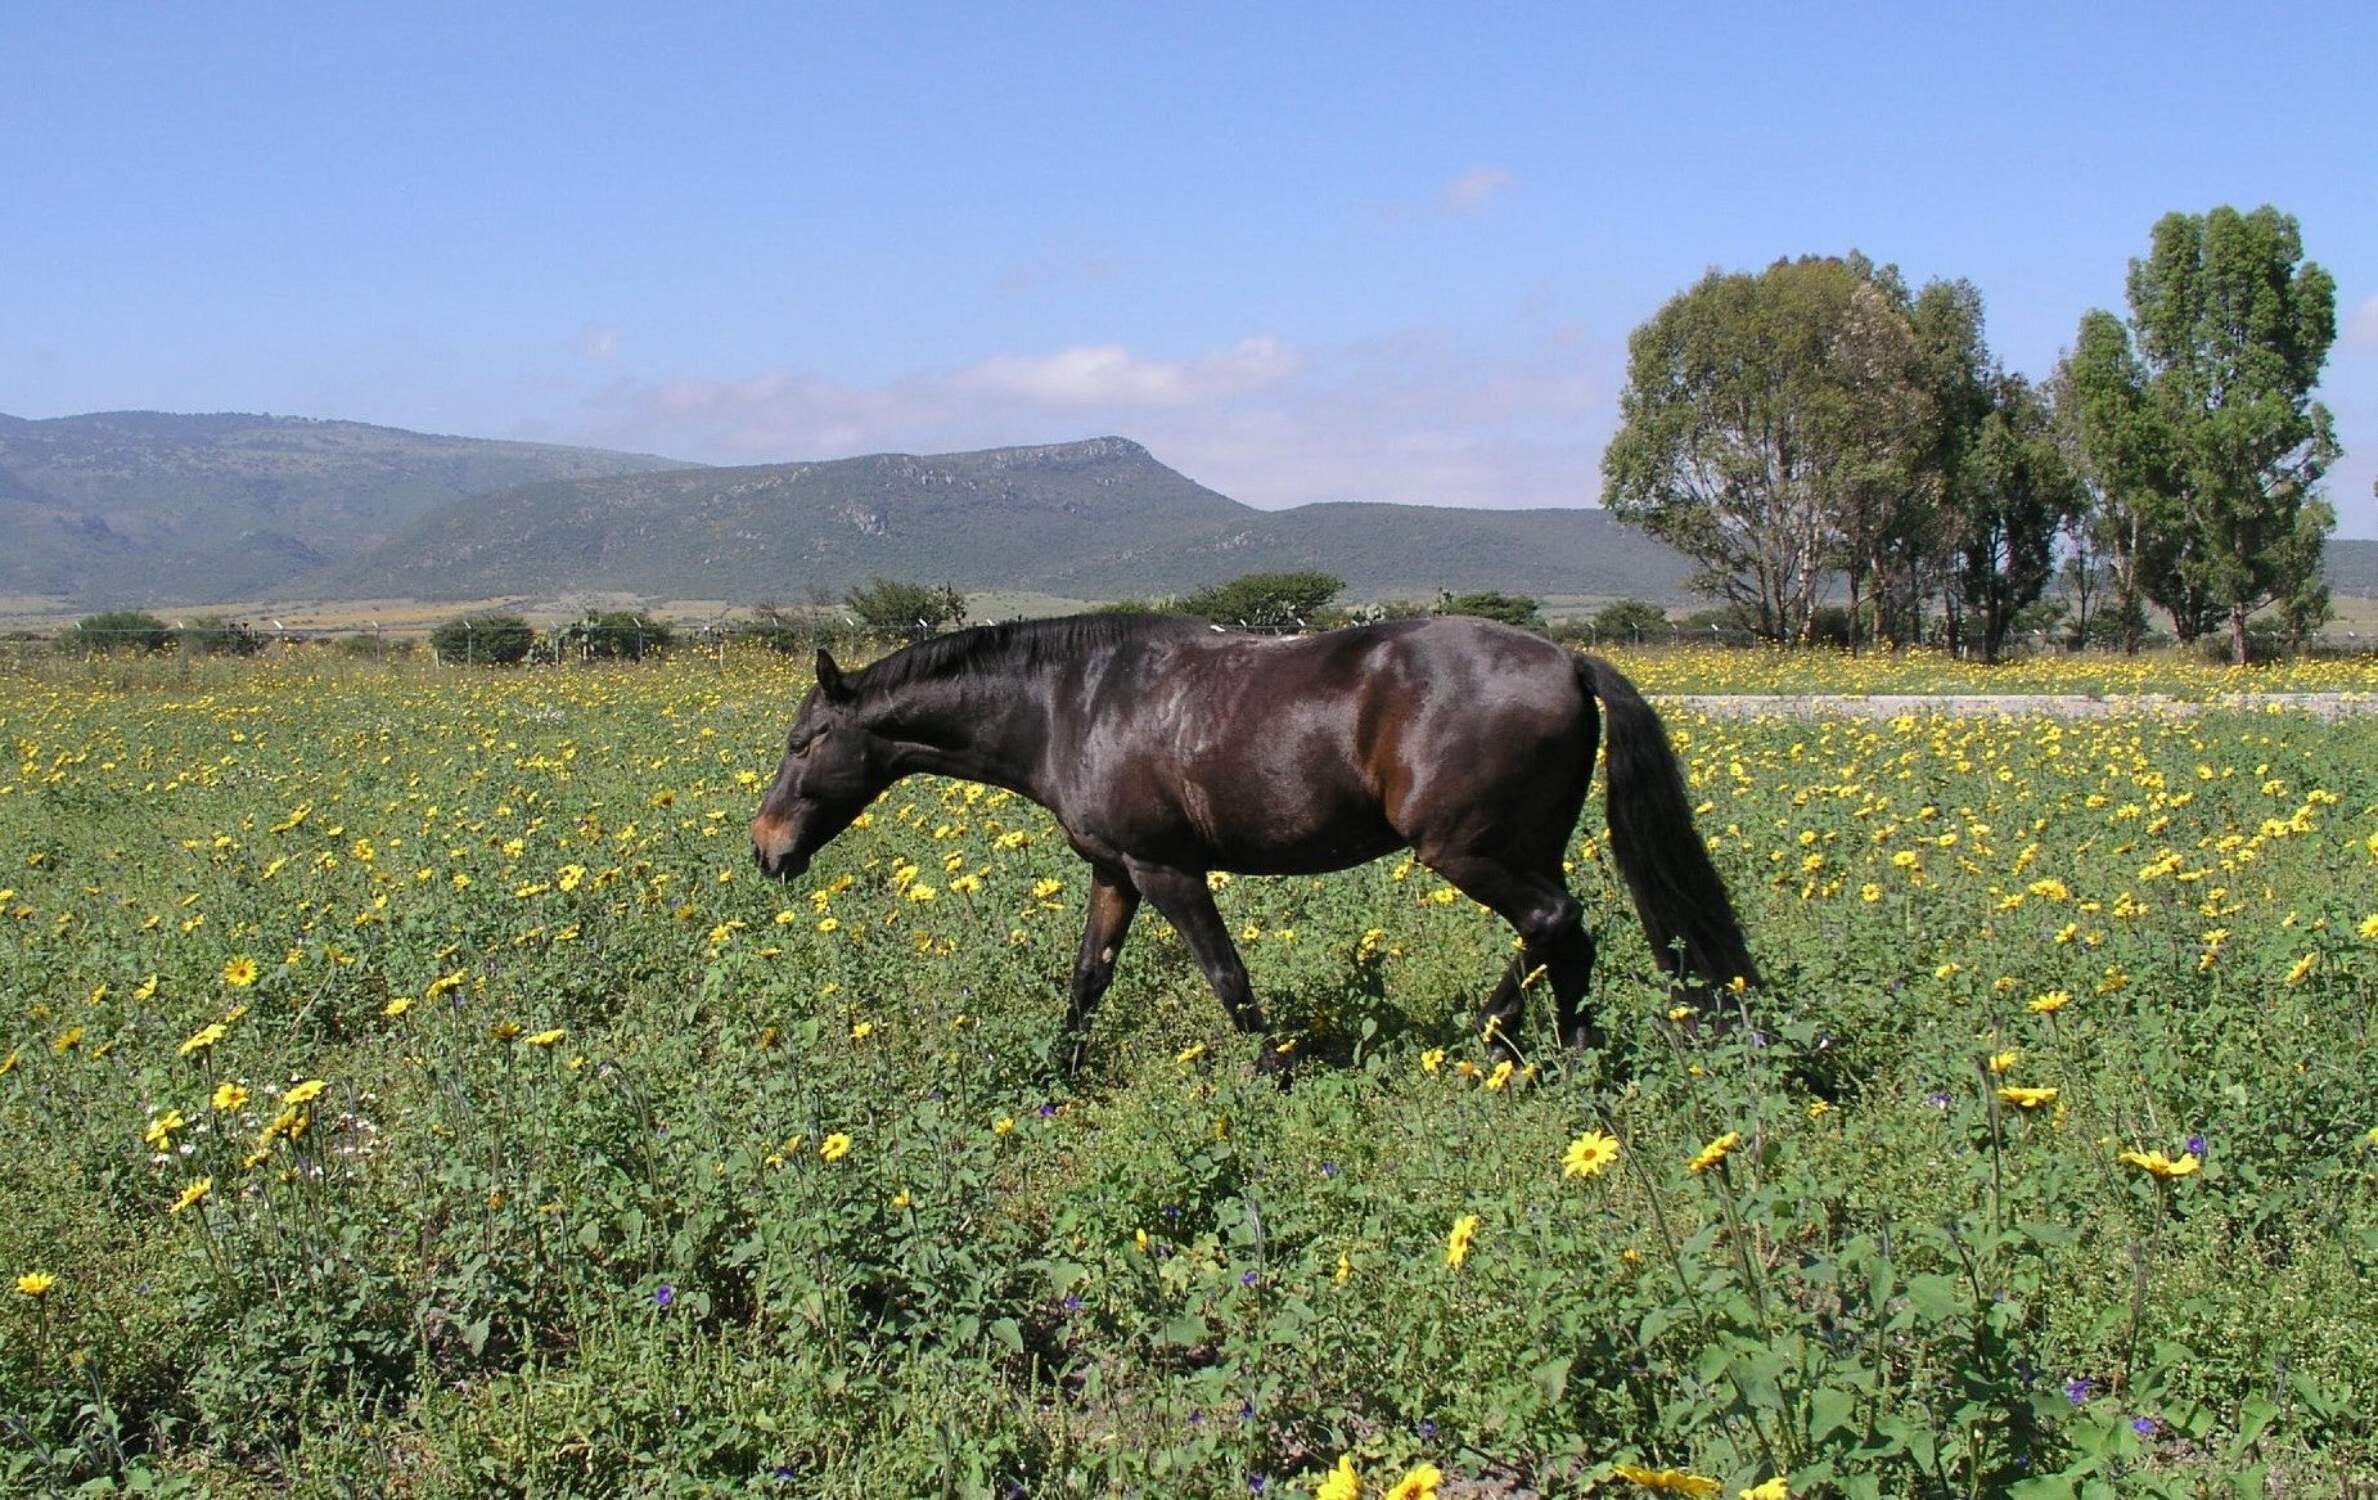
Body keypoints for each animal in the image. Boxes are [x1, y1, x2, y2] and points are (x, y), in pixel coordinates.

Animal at [750, 613, 1755, 1073]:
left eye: (805, 743)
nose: (766, 849)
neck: (1068, 703)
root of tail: (1569, 660)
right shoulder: (1115, 872)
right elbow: (1087, 980)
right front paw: (1054, 1073)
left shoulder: (1167, 869)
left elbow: (1227, 977)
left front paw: (1274, 1072)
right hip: (1520, 849)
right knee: (1566, 938)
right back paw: (1567, 1054)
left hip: (1464, 852)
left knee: (1553, 924)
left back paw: (1488, 1036)